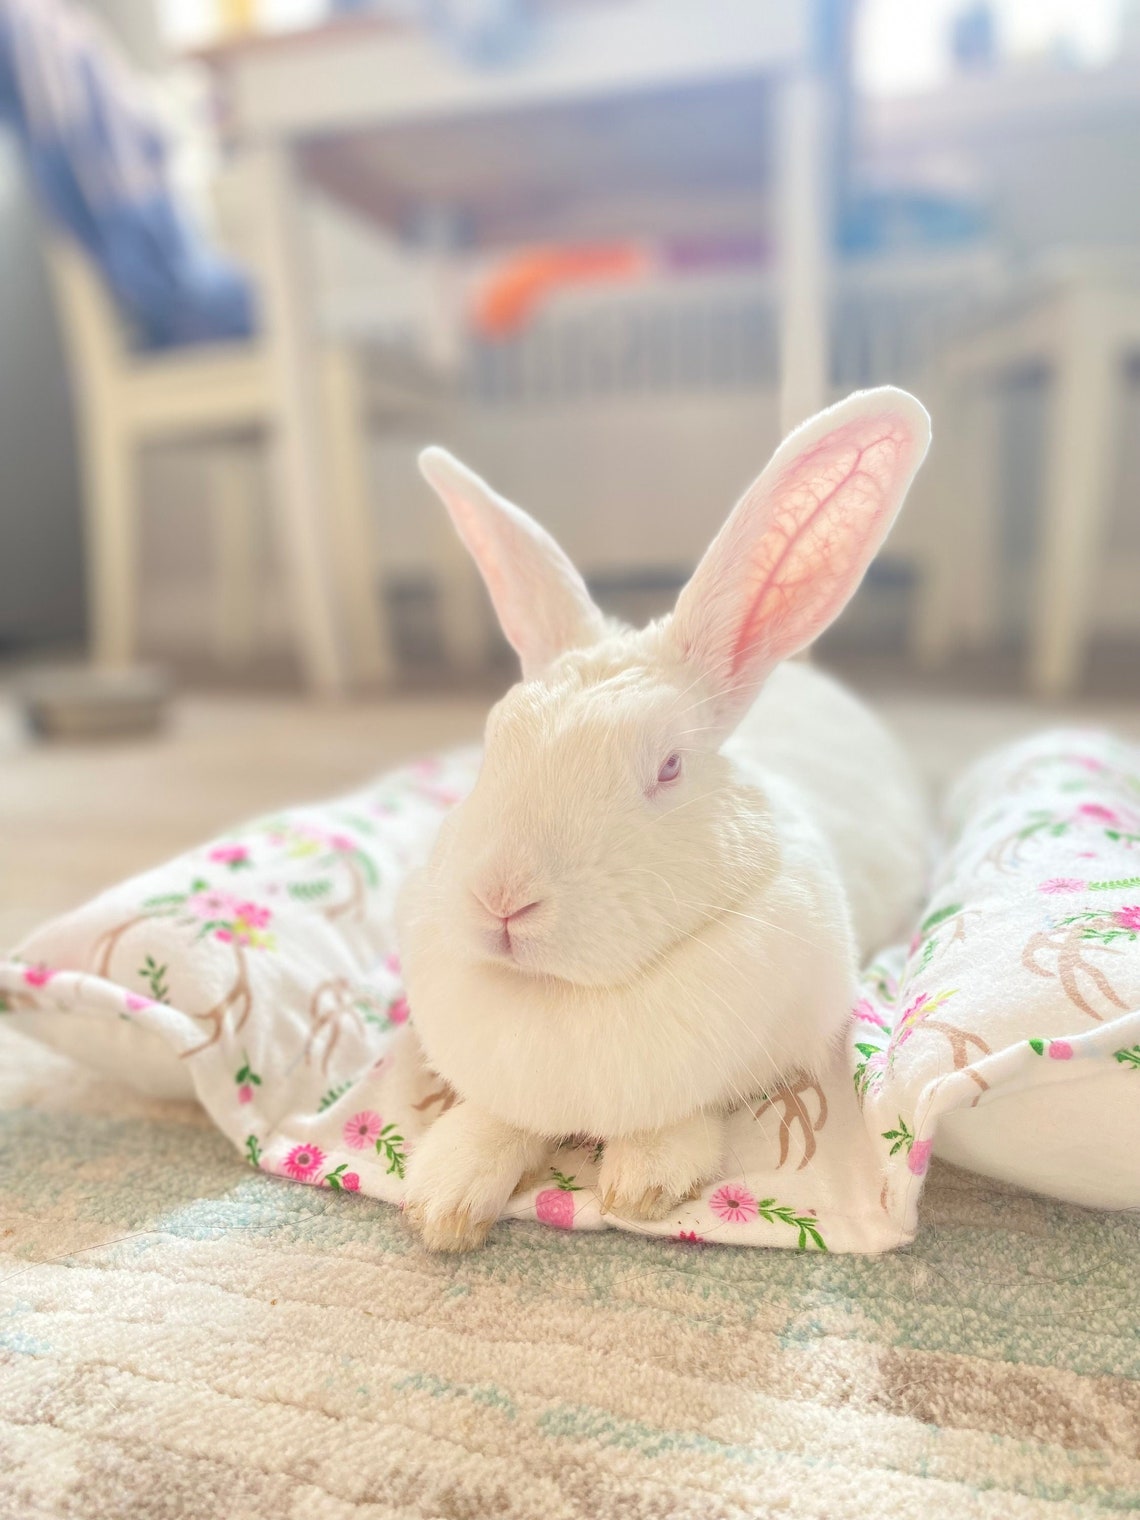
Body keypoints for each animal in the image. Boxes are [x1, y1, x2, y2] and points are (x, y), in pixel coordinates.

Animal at [398, 386, 932, 1251]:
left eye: (670, 767)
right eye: (493, 740)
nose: (502, 900)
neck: (563, 996)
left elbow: (688, 1115)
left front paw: (644, 1181)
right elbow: (497, 1118)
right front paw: (443, 1199)